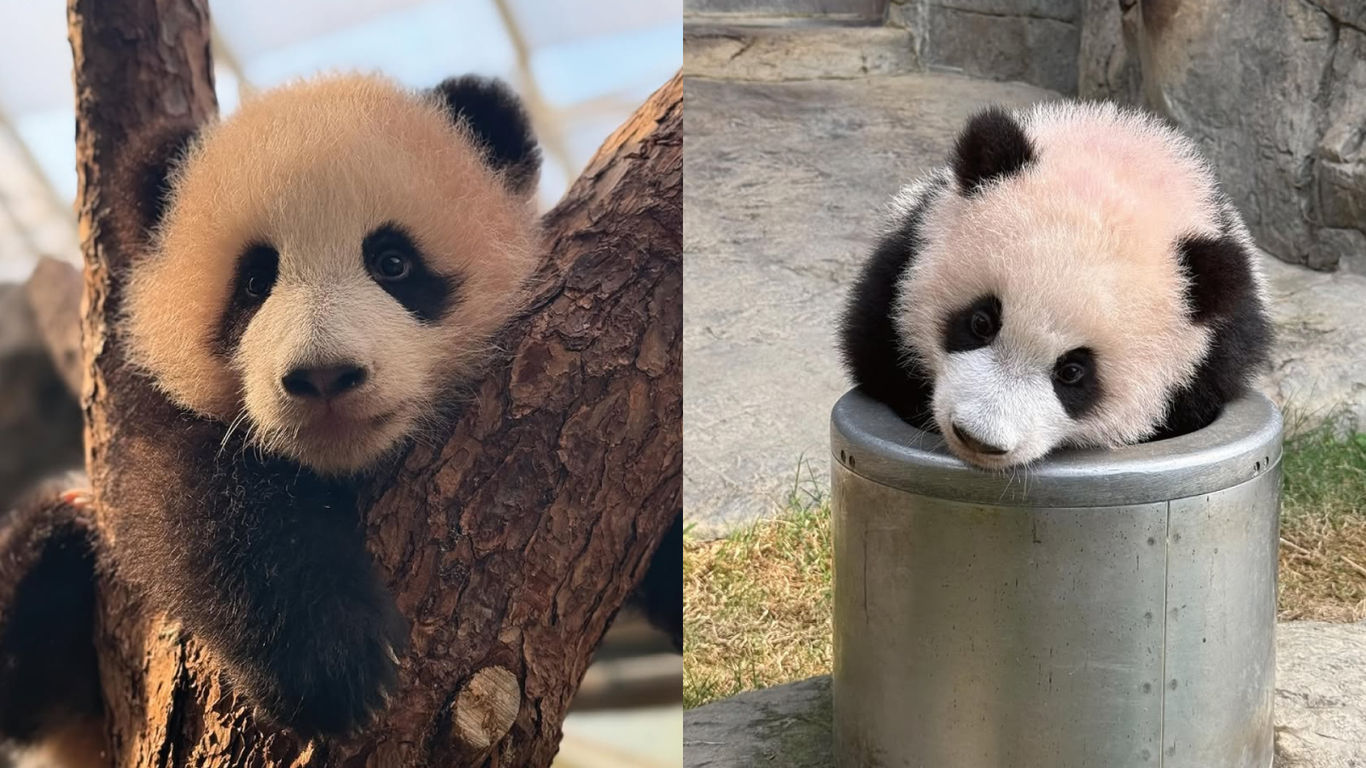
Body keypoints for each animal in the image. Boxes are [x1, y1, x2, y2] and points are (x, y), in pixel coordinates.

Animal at [839, 102, 1272, 470]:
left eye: (1072, 372)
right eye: (981, 322)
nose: (978, 438)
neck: (1128, 158)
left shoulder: (1211, 361)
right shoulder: (905, 251)